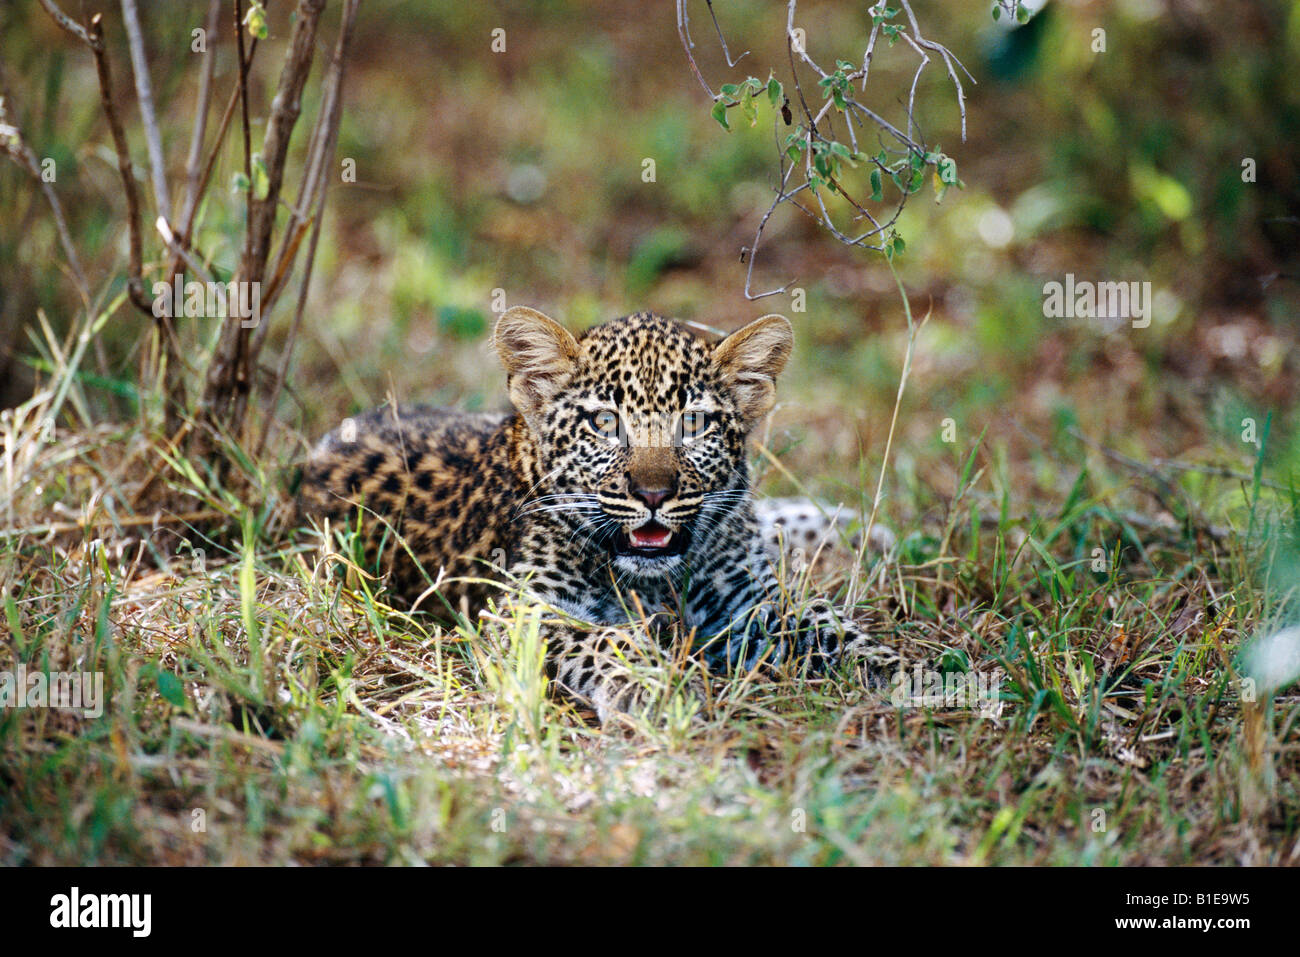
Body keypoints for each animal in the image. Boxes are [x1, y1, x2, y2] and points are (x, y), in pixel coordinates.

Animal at [300, 307, 899, 723]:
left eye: (694, 424)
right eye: (605, 423)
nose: (654, 494)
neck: (656, 583)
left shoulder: (748, 598)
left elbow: (820, 618)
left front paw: (898, 670)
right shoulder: (524, 612)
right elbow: (607, 639)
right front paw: (656, 687)